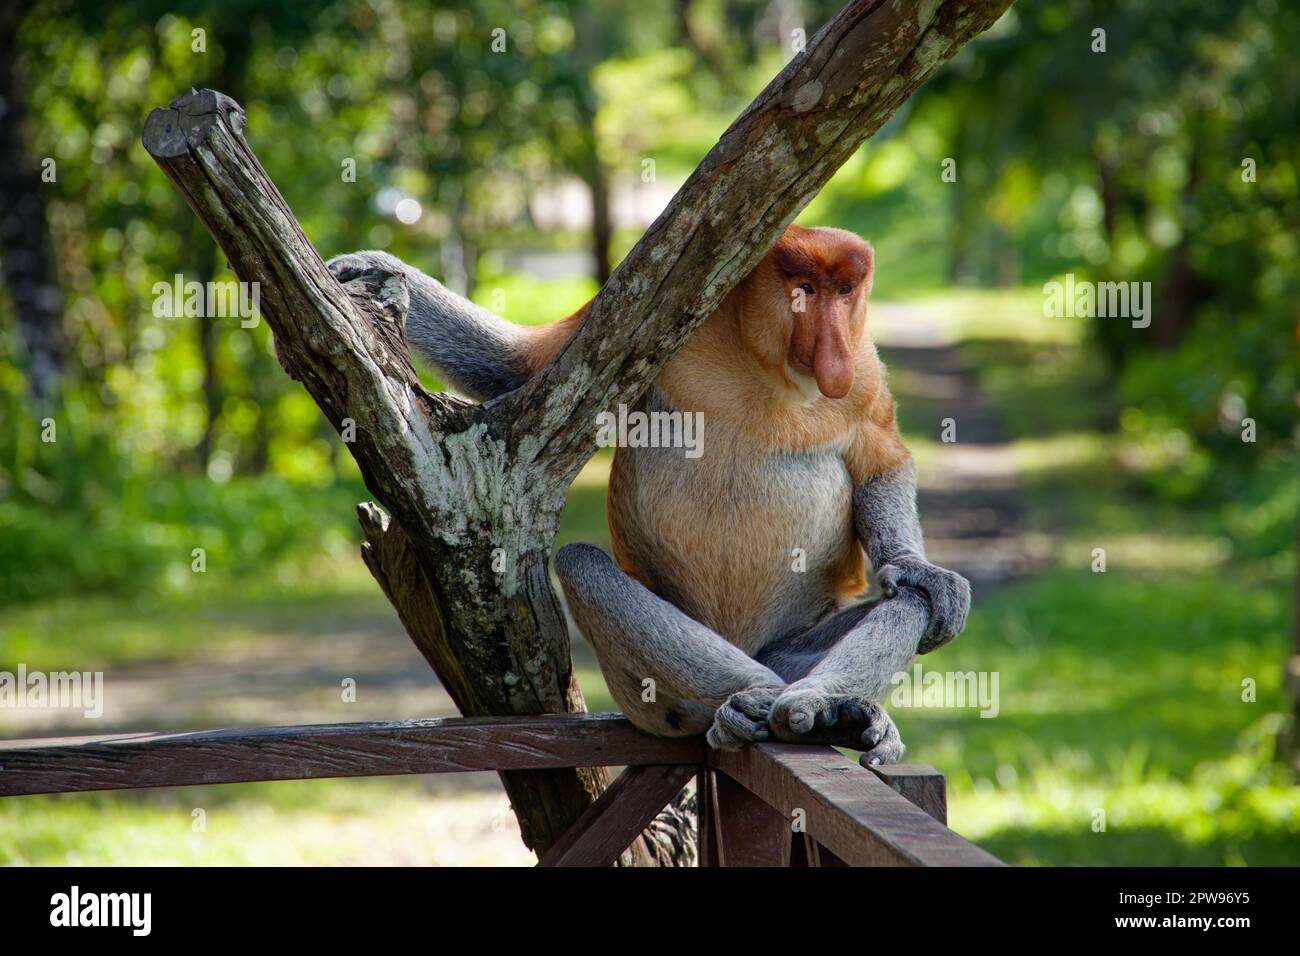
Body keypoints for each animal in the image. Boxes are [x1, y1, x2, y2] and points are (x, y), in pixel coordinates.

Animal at [328, 224, 970, 766]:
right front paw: (371, 265)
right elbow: (516, 366)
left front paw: (921, 570)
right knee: (581, 564)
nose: (830, 348)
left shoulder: (864, 375)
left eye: (844, 291)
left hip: (792, 647)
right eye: (805, 289)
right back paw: (758, 703)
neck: (765, 367)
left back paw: (826, 707)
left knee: (911, 604)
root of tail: (757, 653)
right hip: (652, 695)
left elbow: (882, 466)